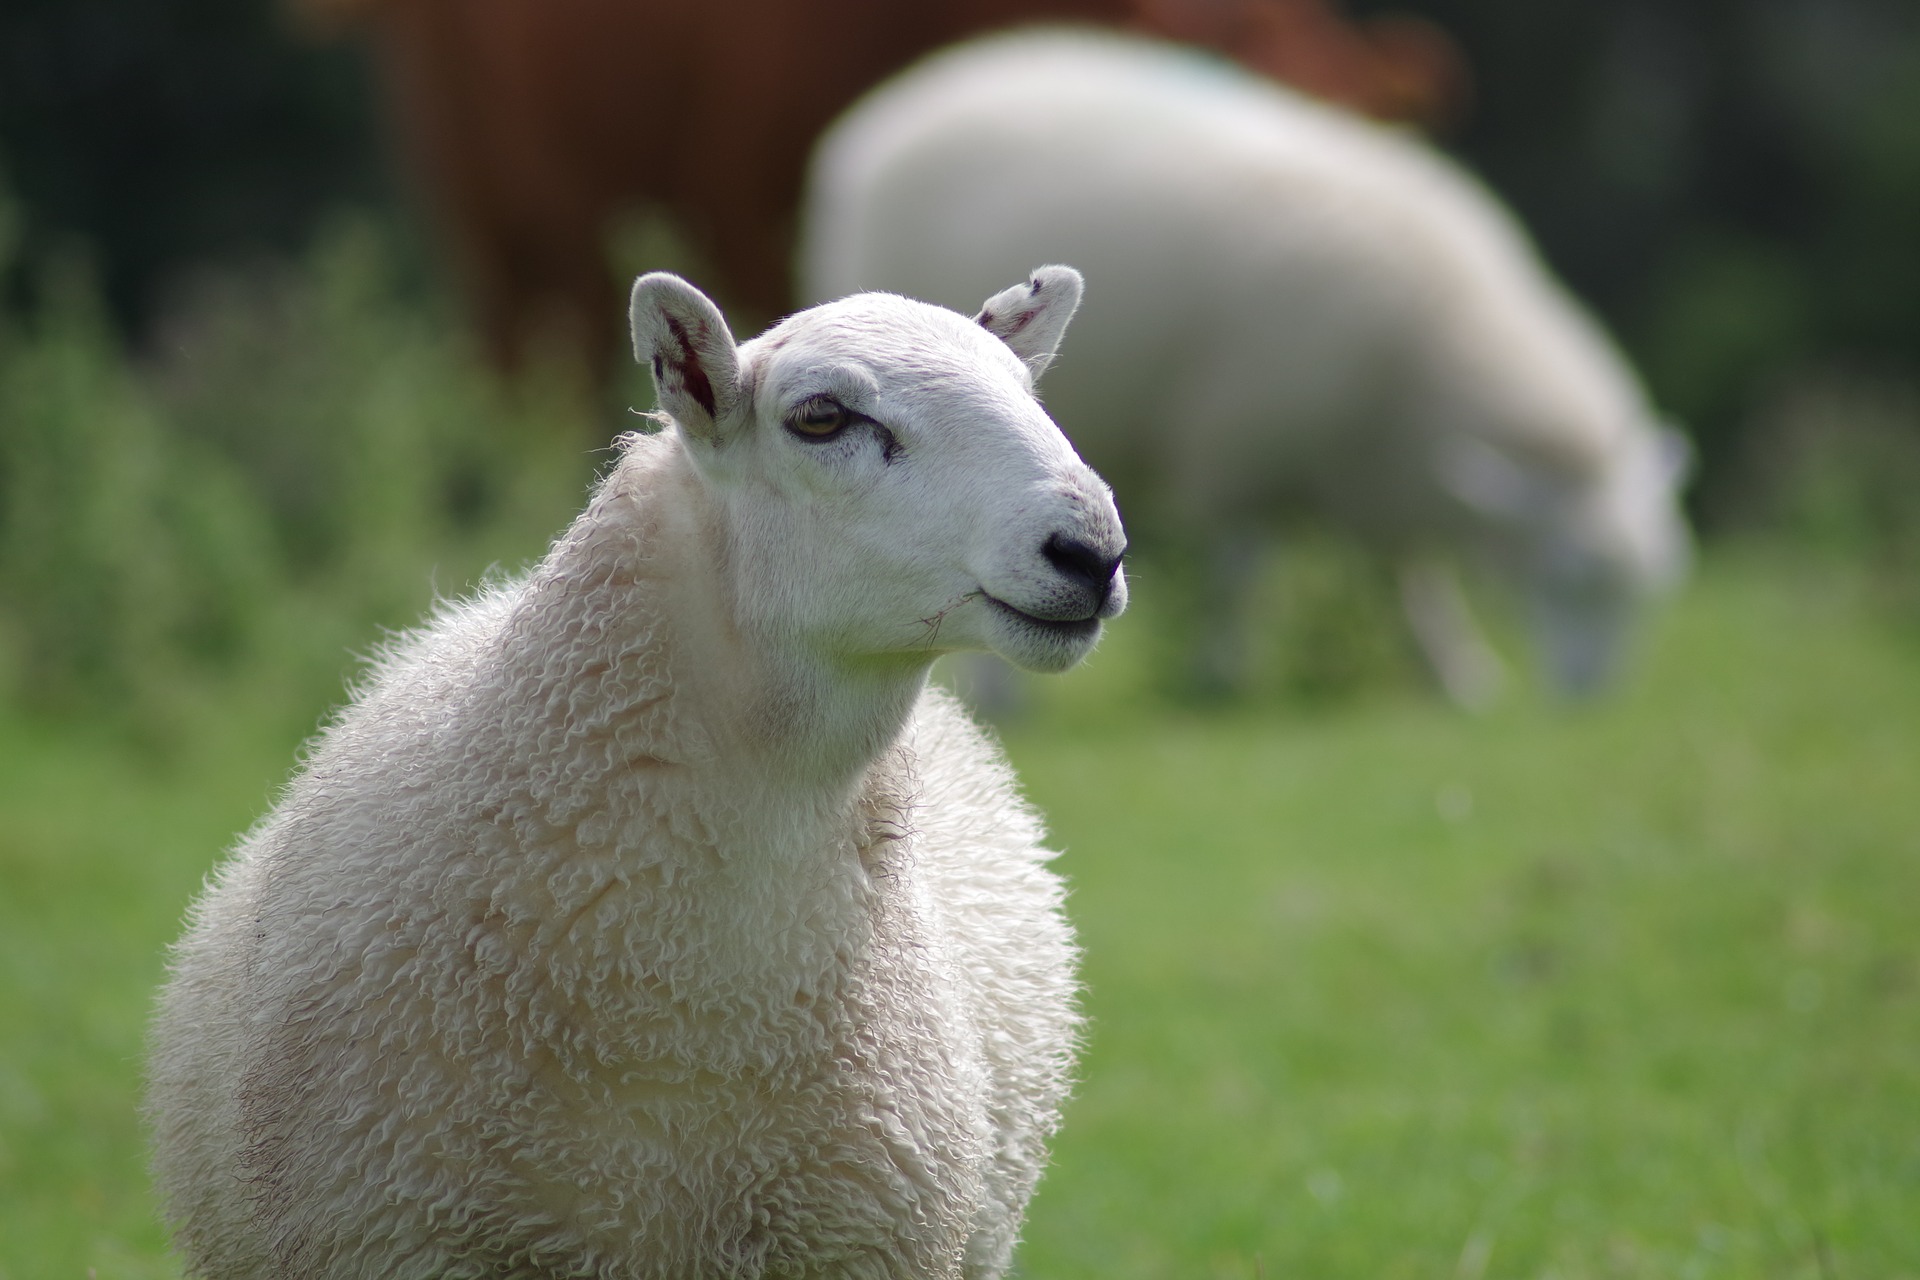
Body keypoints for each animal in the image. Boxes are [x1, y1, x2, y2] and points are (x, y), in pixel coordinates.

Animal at [801, 28, 1691, 704]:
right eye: (1566, 576)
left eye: (1650, 583)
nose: (1590, 701)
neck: (1430, 347)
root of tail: (893, 113)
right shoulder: (1242, 442)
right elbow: (1239, 571)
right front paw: (1219, 678)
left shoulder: (1373, 466)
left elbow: (1408, 576)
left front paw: (1455, 672)